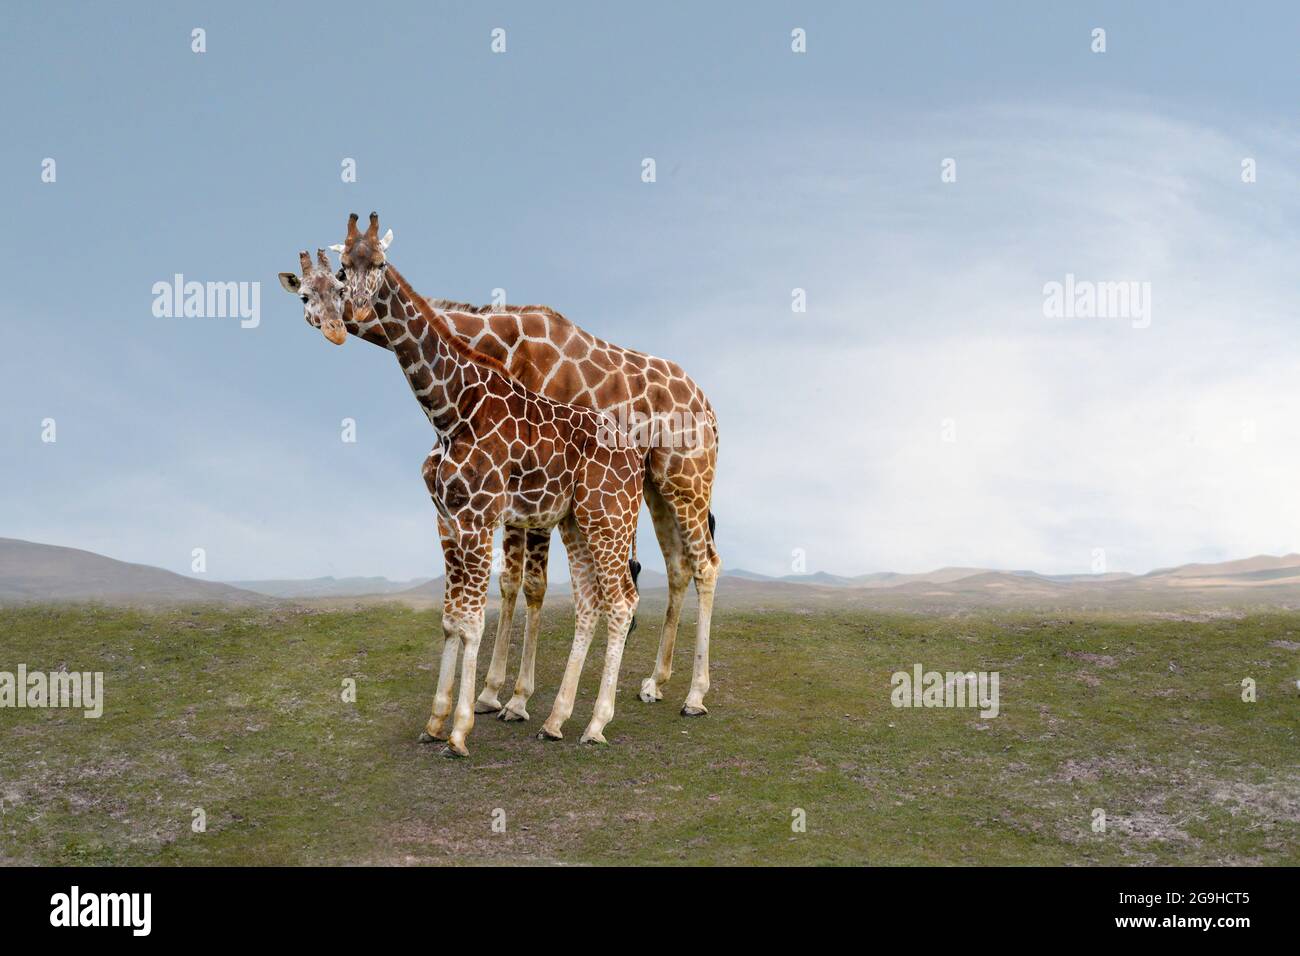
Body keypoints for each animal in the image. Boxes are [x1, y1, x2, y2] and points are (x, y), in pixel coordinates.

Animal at [279, 244, 646, 756]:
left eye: (338, 284)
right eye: (305, 294)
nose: (333, 325)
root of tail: (636, 454)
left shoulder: (486, 514)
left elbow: (484, 610)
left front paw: (469, 722)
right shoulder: (456, 517)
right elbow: (459, 614)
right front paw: (452, 716)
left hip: (613, 517)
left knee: (631, 597)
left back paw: (602, 721)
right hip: (579, 521)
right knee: (592, 602)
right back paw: (557, 720)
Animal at [332, 213, 722, 719]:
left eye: (369, 267)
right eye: (338, 270)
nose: (342, 318)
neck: (499, 345)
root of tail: (710, 409)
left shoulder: (531, 484)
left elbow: (529, 583)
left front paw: (511, 697)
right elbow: (510, 582)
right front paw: (494, 693)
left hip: (687, 478)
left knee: (706, 563)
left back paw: (695, 694)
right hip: (656, 486)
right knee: (678, 565)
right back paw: (656, 681)